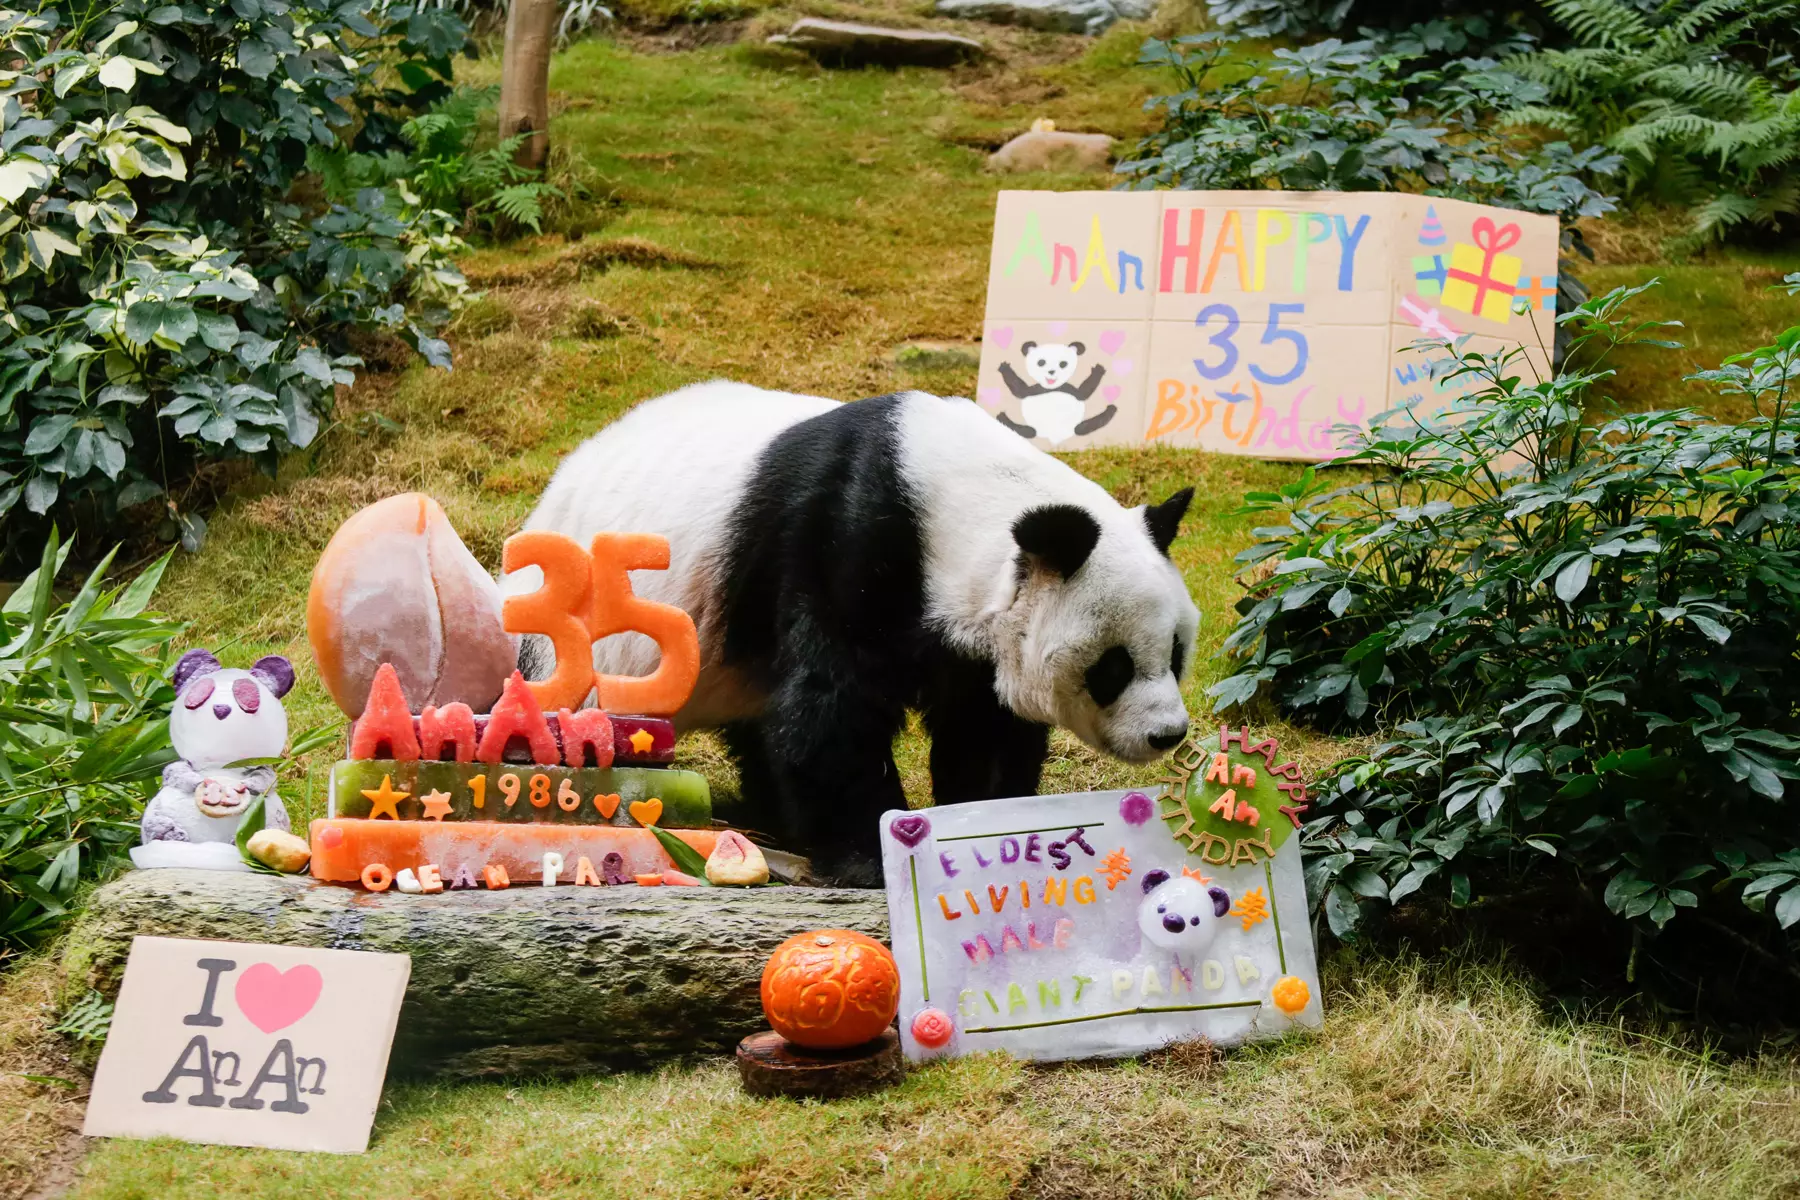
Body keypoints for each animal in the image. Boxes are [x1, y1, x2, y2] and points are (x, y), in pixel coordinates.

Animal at [518, 385, 1195, 881]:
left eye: (1176, 653)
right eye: (1113, 666)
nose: (1168, 734)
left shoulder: (967, 643)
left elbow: (983, 727)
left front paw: (984, 819)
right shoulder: (843, 544)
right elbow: (829, 708)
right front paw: (868, 854)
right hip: (573, 631)